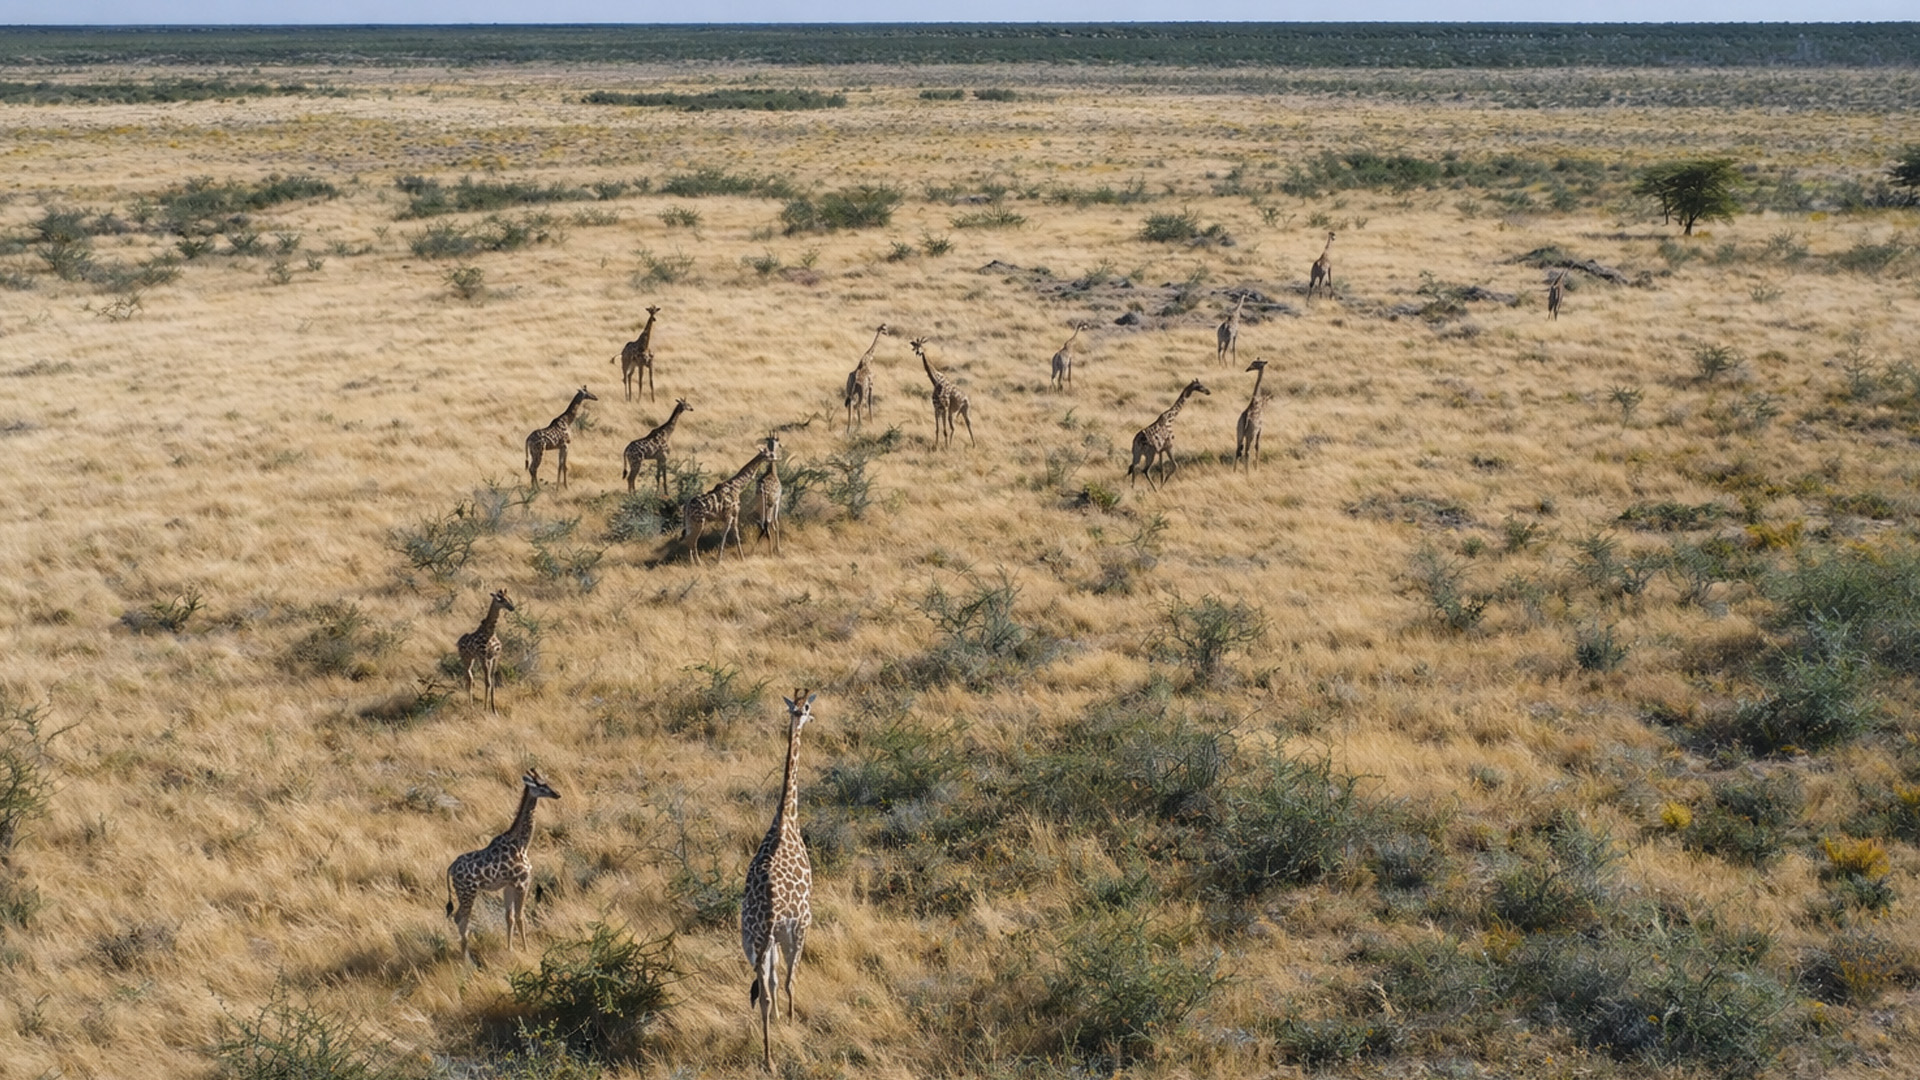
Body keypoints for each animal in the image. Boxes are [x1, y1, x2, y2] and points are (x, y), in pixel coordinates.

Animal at [444, 767, 561, 962]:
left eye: (547, 782)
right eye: (540, 785)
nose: (557, 794)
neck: (521, 843)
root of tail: (451, 868)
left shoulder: (508, 885)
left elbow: (509, 917)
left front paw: (510, 949)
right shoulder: (522, 883)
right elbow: (521, 917)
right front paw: (526, 950)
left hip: (463, 892)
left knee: (459, 918)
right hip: (468, 891)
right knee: (461, 918)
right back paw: (467, 959)